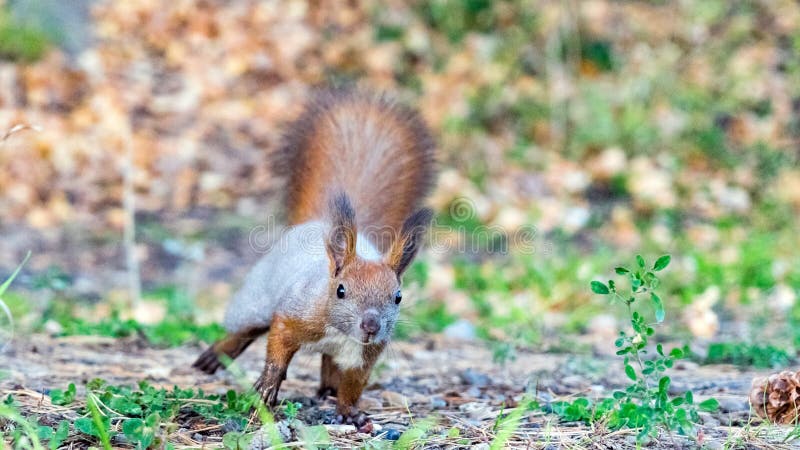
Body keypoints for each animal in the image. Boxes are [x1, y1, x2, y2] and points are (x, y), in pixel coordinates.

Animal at [193, 89, 436, 423]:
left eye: (398, 297)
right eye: (341, 290)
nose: (371, 326)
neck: (339, 331)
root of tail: (314, 224)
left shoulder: (364, 356)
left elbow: (353, 385)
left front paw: (348, 411)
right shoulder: (293, 314)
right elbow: (278, 346)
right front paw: (268, 385)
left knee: (329, 362)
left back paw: (328, 389)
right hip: (255, 300)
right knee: (245, 329)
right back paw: (215, 355)